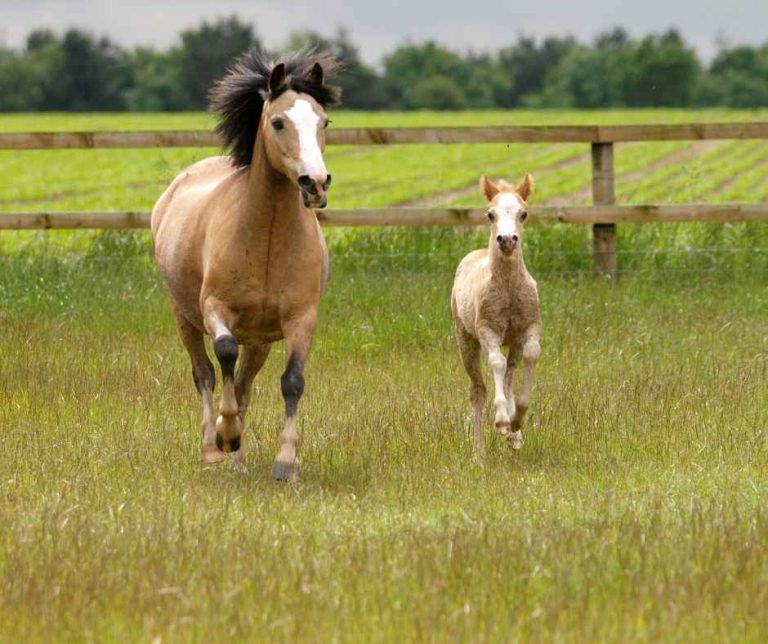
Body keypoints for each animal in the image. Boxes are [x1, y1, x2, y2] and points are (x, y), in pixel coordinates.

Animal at [151, 49, 341, 481]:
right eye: (278, 121)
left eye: (324, 121)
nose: (316, 183)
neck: (266, 239)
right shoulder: (215, 309)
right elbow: (223, 354)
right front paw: (226, 435)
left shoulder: (301, 320)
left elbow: (291, 381)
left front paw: (286, 463)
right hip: (184, 318)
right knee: (205, 374)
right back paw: (212, 448)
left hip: (260, 341)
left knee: (244, 385)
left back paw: (237, 460)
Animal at [451, 174, 542, 454]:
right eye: (490, 214)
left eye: (524, 213)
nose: (507, 240)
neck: (509, 289)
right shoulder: (487, 329)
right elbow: (496, 363)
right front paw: (502, 419)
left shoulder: (529, 327)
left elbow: (532, 355)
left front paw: (517, 419)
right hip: (465, 340)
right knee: (478, 390)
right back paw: (479, 452)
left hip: (512, 342)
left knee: (510, 376)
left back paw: (515, 436)